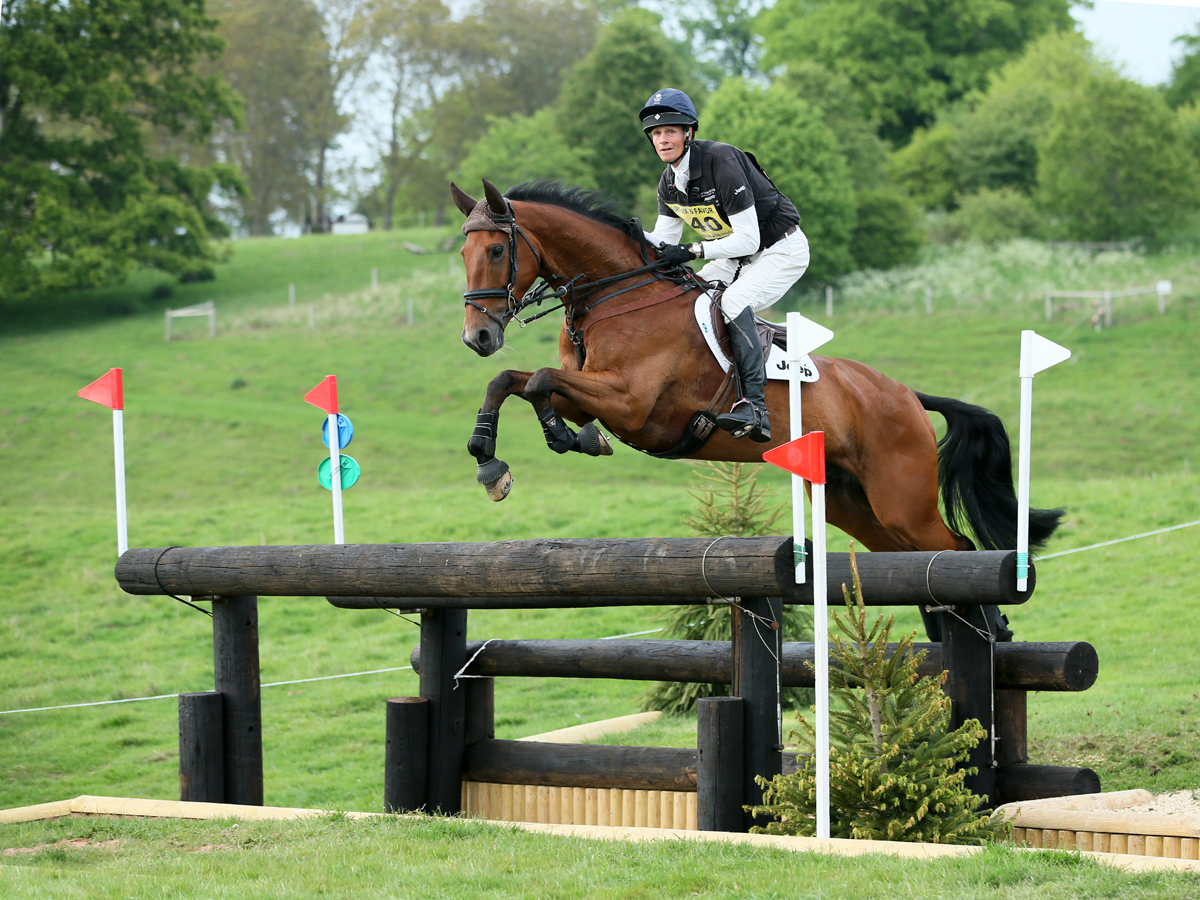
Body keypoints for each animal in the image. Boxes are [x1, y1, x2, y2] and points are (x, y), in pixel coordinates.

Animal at [450, 178, 1062, 638]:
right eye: (462, 253)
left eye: (498, 250)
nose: (478, 337)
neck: (614, 295)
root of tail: (907, 394)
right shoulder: (590, 394)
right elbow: (513, 381)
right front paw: (490, 461)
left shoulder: (632, 404)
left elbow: (539, 383)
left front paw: (560, 440)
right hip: (855, 506)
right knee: (911, 563)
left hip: (901, 500)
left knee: (956, 548)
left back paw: (993, 627)